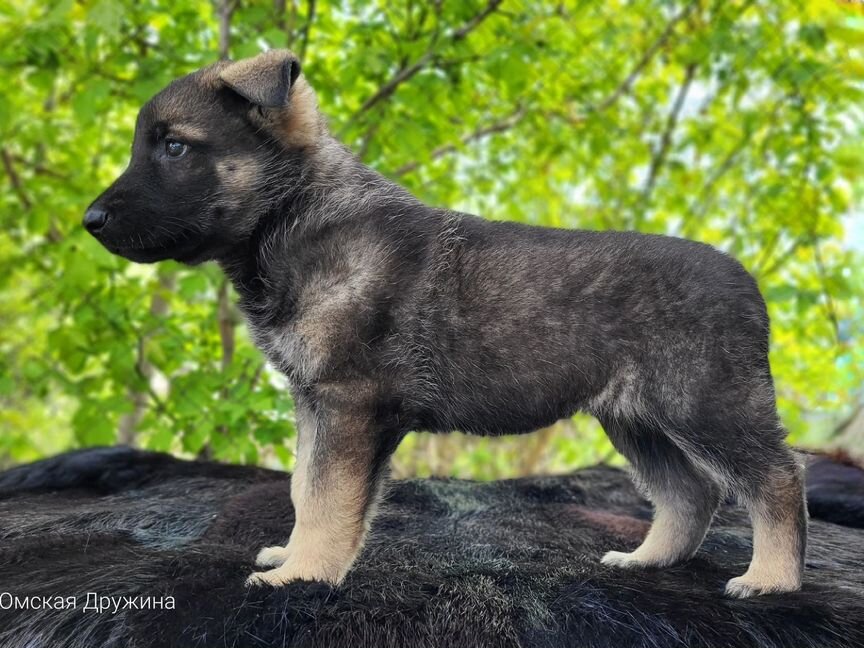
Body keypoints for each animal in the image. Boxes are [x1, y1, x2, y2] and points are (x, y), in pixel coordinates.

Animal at [84, 49, 808, 596]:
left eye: (175, 147)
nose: (89, 221)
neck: (297, 217)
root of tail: (749, 283)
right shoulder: (315, 402)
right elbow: (302, 486)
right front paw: (292, 557)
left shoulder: (348, 403)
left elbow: (327, 495)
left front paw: (304, 575)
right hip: (638, 418)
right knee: (689, 494)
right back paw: (648, 560)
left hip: (706, 405)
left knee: (777, 480)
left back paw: (771, 579)